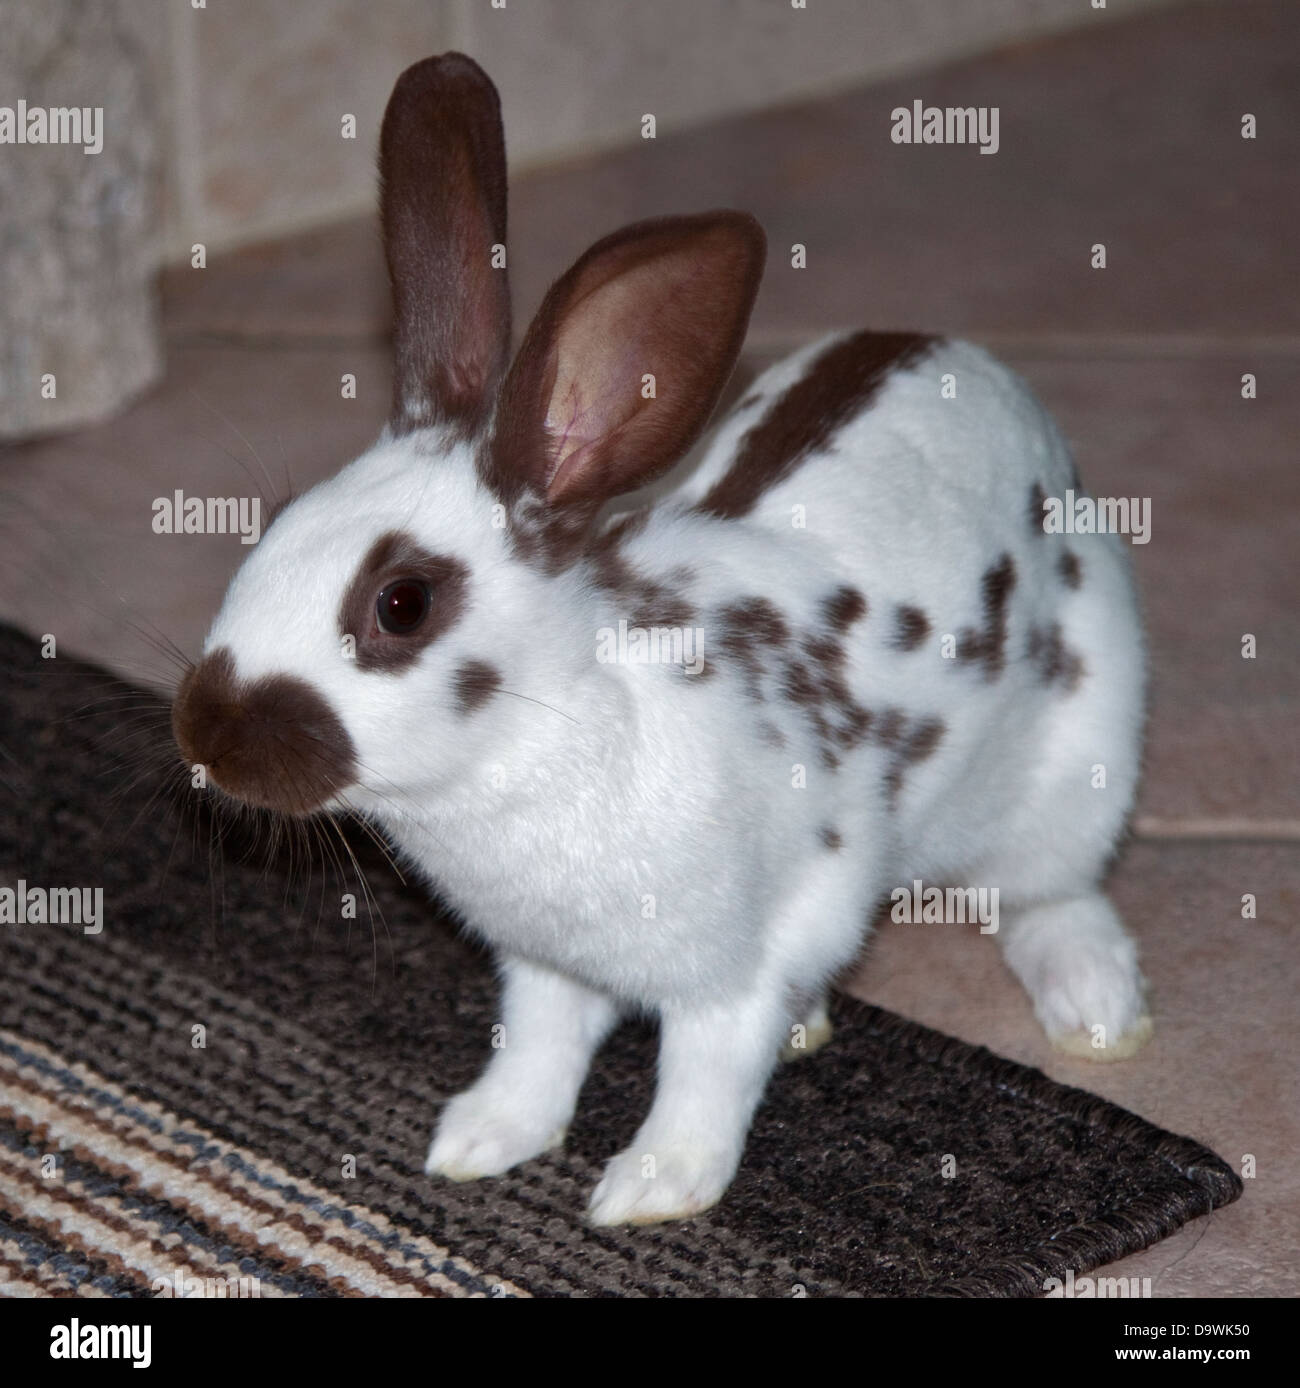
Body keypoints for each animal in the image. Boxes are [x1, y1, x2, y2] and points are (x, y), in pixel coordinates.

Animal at [171, 52, 1151, 1227]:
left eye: (402, 604)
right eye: (272, 526)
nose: (206, 732)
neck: (537, 748)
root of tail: (979, 366)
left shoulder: (751, 953)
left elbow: (706, 1071)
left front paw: (651, 1186)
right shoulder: (544, 963)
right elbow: (537, 1046)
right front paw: (481, 1136)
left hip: (1085, 749)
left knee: (1052, 890)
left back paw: (1098, 1008)